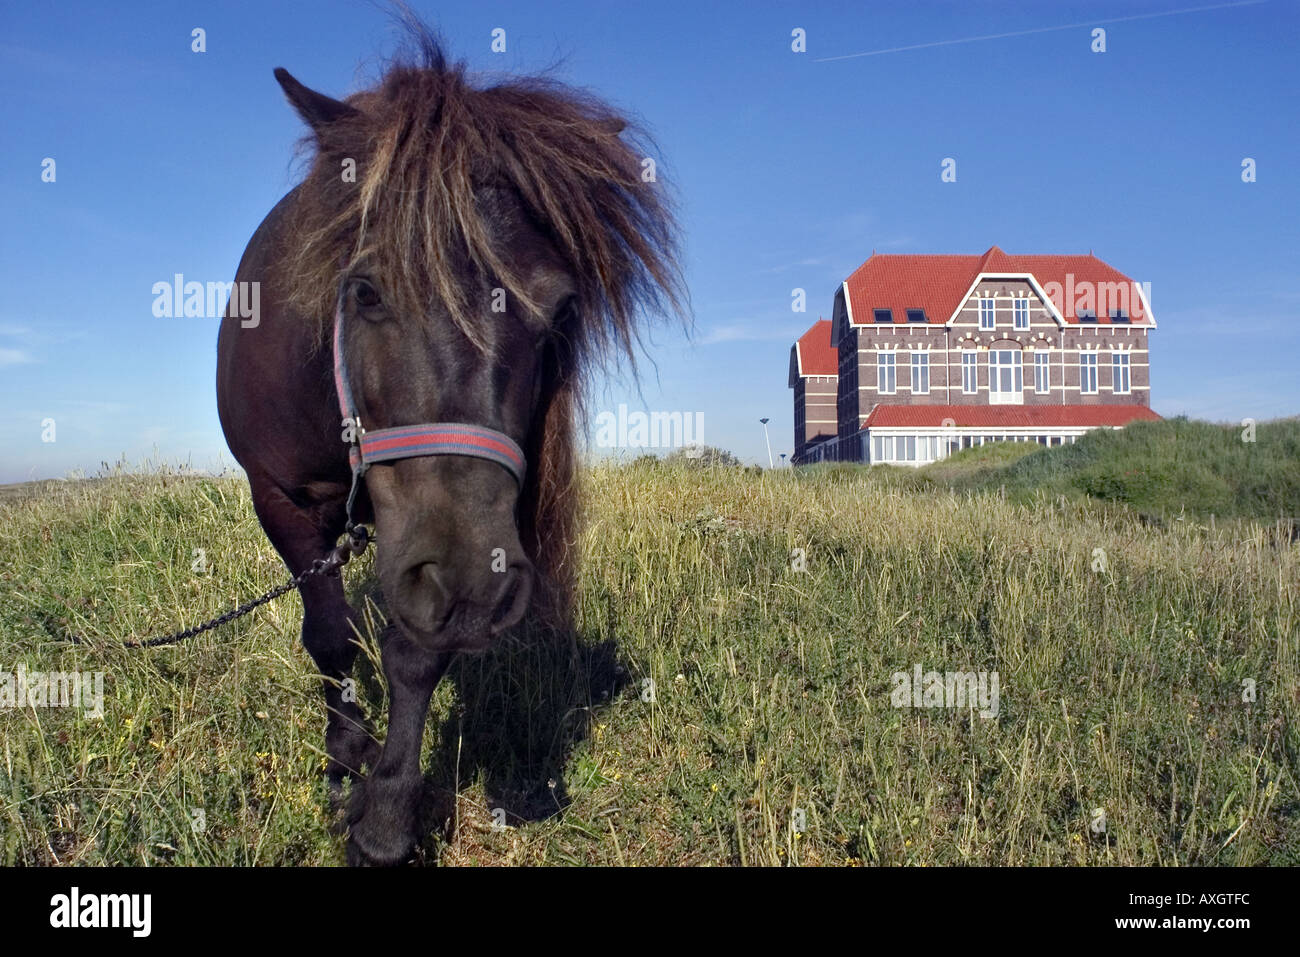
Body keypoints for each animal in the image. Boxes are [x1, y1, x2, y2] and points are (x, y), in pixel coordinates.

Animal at [215, 23, 683, 865]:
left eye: (561, 310)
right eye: (365, 290)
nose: (472, 587)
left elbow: (414, 653)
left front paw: (385, 817)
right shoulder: (282, 497)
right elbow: (331, 636)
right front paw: (346, 758)